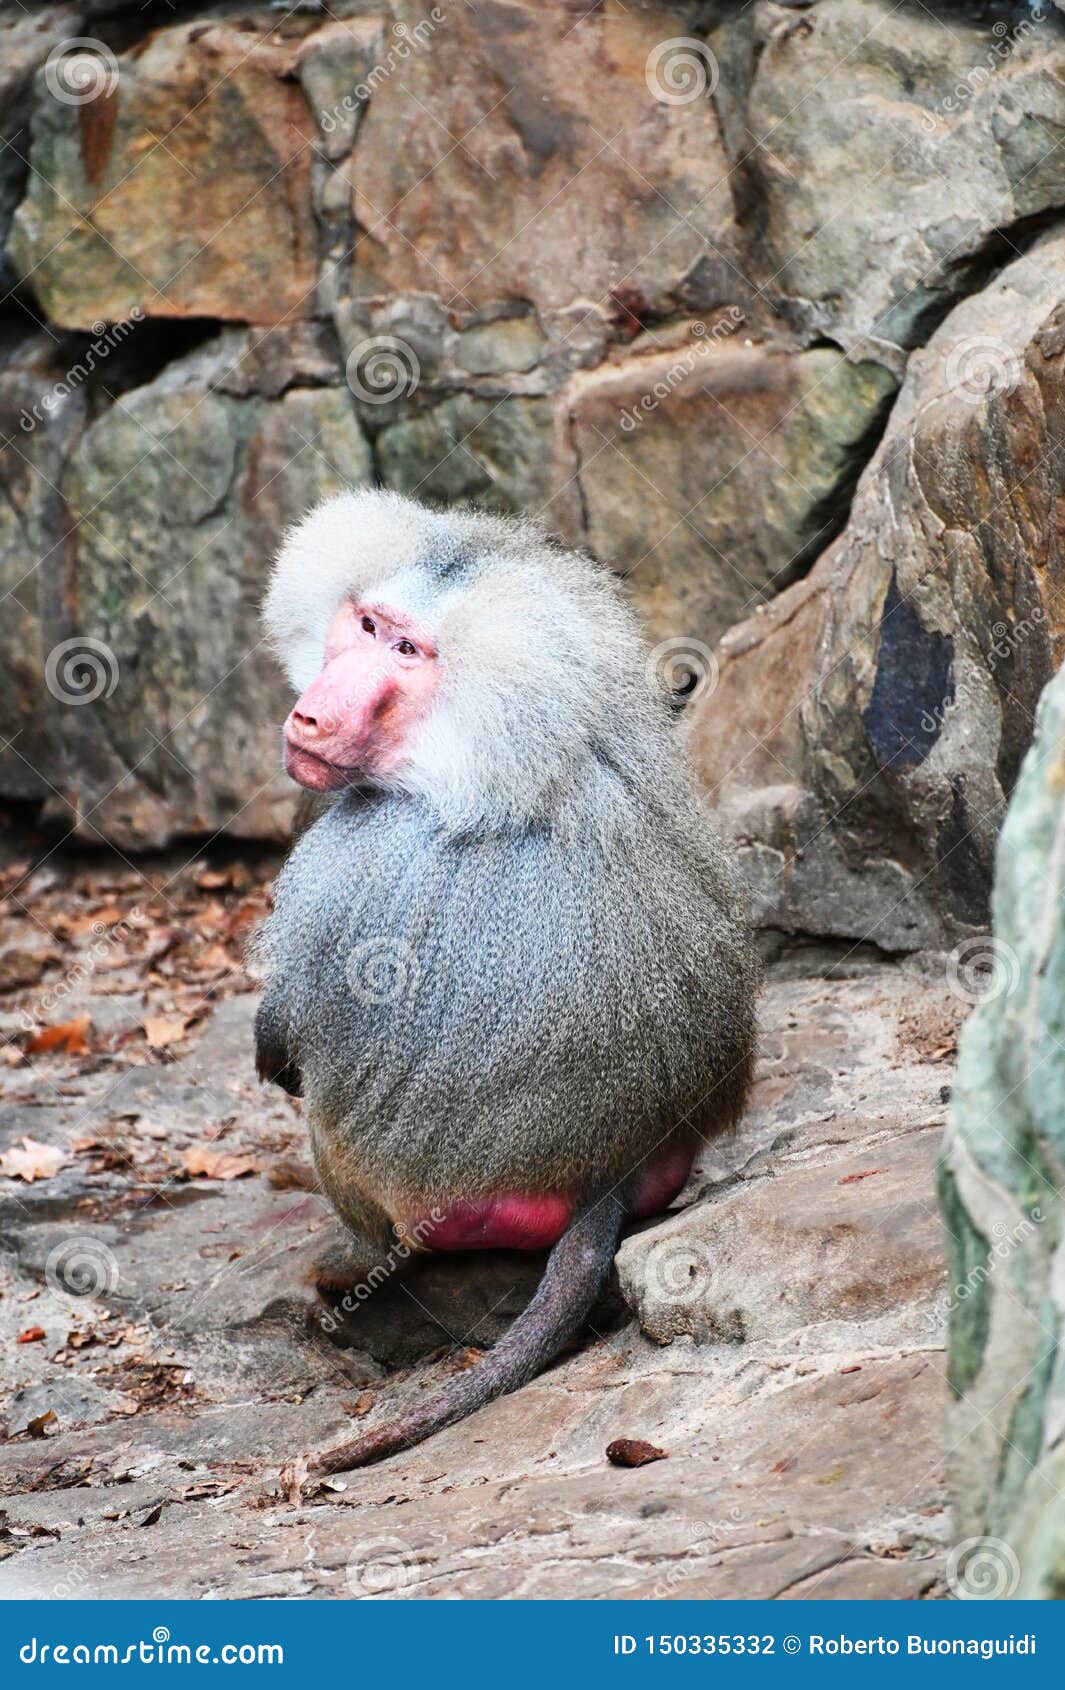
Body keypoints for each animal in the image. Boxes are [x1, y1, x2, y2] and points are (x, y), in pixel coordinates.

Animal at [252, 488, 757, 1474]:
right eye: (366, 626)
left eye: (407, 654)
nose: (310, 720)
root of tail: (609, 1169)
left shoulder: (354, 857)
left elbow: (291, 1033)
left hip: (427, 1199)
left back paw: (348, 1270)